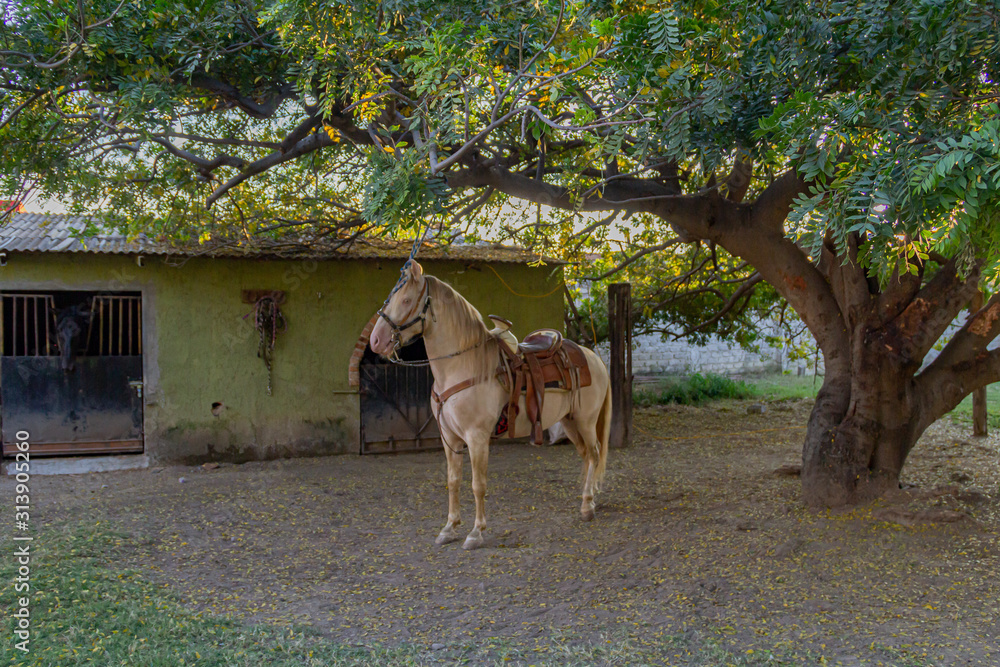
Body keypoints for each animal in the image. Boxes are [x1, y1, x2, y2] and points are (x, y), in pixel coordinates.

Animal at [369, 260, 612, 550]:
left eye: (406, 300)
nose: (375, 341)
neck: (463, 365)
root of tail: (592, 358)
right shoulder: (449, 437)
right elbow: (453, 481)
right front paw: (449, 528)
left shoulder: (477, 437)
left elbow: (478, 484)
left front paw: (476, 533)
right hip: (569, 421)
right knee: (586, 455)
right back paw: (587, 499)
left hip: (586, 421)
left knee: (595, 454)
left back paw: (588, 506)